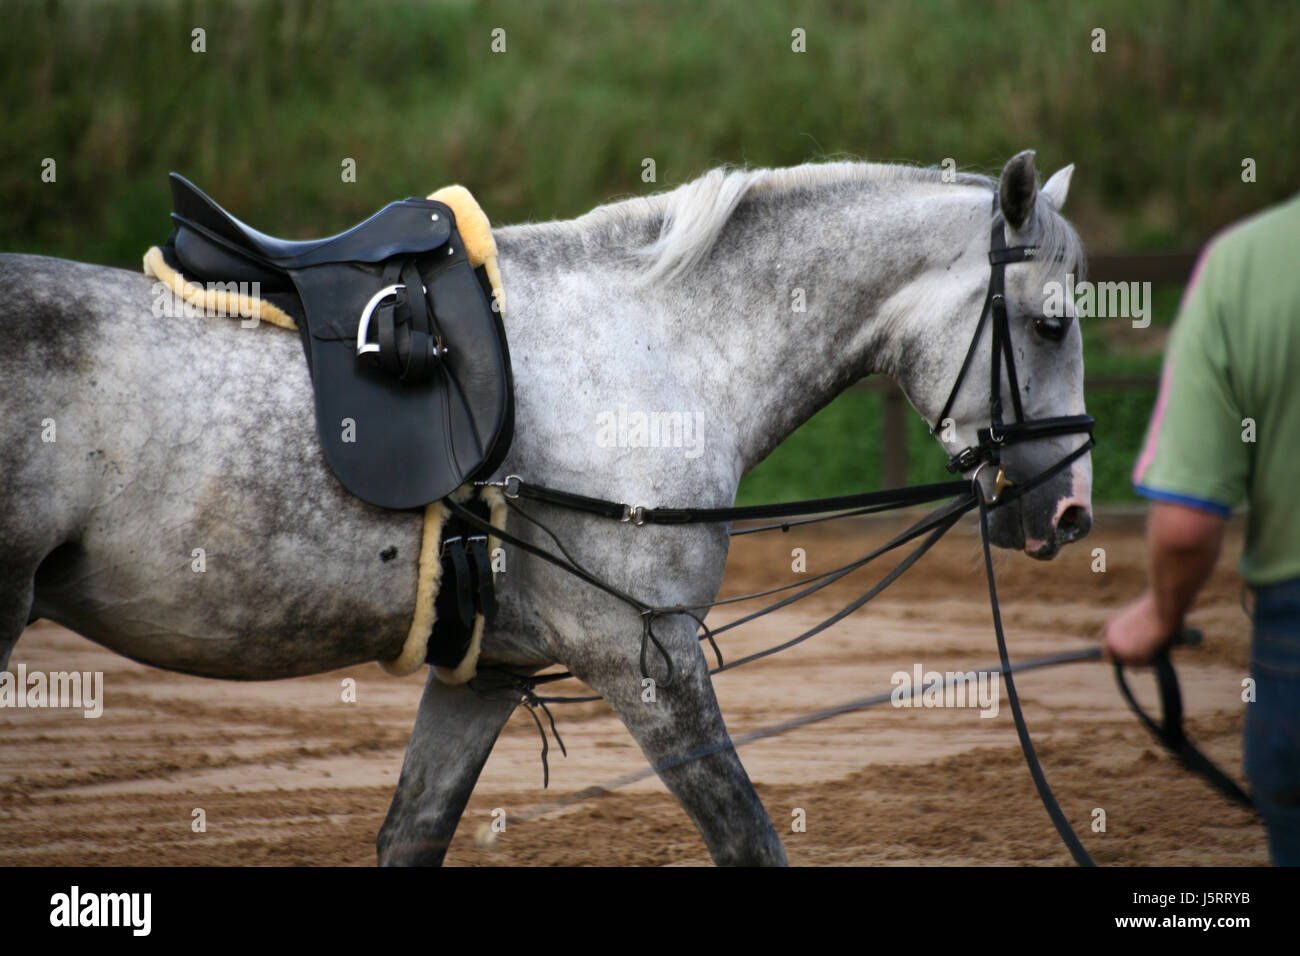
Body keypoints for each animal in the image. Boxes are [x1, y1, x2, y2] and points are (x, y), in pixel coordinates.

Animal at [0, 149, 1091, 865]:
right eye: (1049, 324)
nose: (1071, 513)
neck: (656, 346)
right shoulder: (647, 657)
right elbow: (748, 836)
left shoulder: (485, 670)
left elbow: (412, 833)